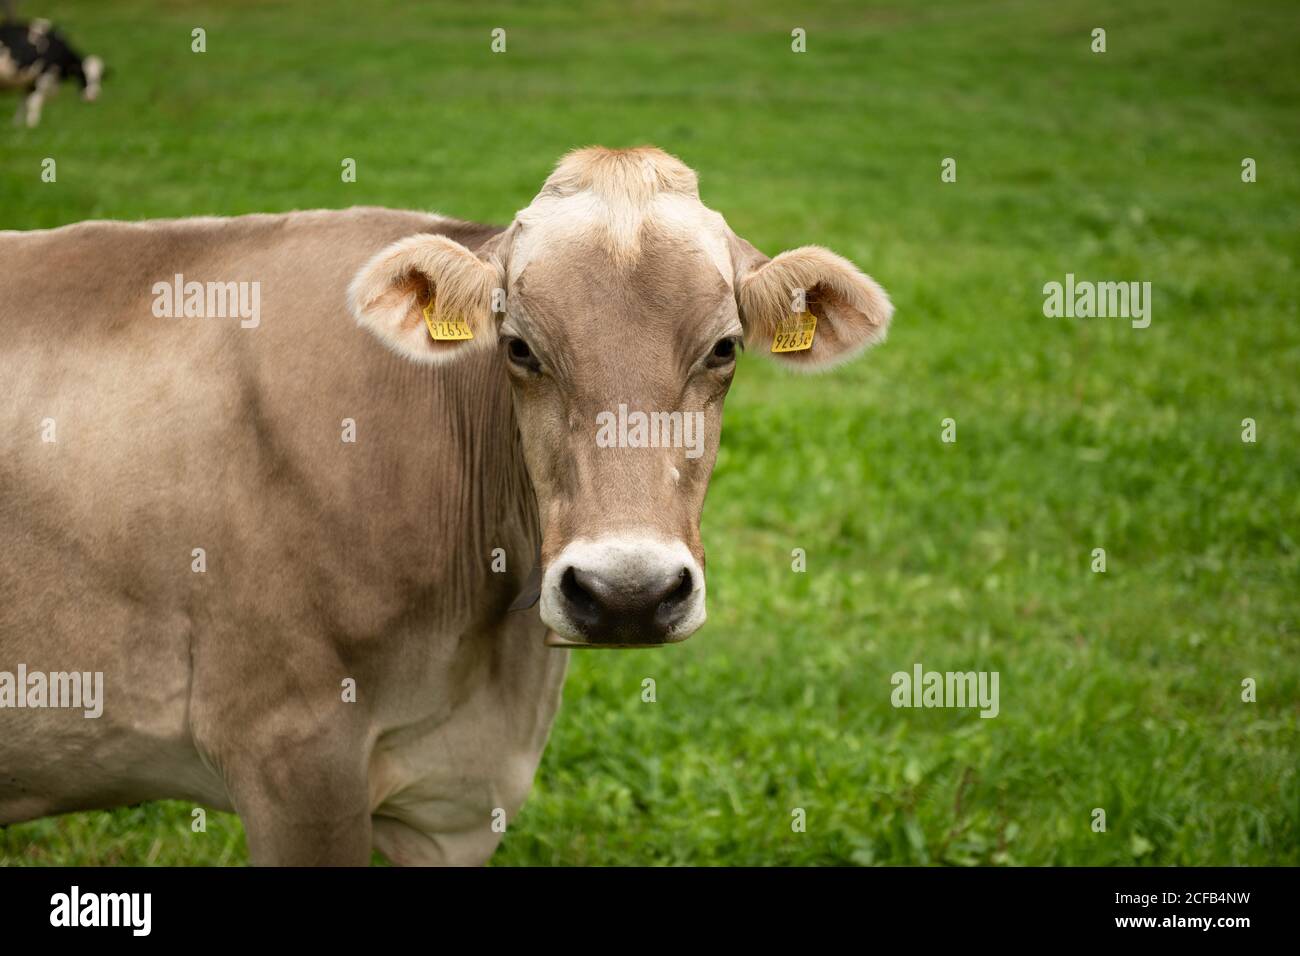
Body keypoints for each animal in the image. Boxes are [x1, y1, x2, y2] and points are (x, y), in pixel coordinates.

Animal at [0, 147, 892, 865]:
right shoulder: (291, 756)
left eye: (724, 347)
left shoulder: (457, 796)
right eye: (520, 347)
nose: (626, 594)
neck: (488, 661)